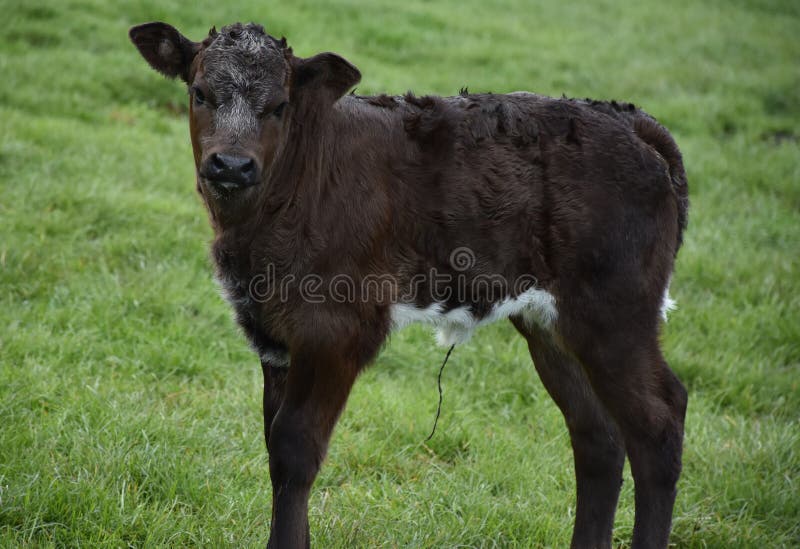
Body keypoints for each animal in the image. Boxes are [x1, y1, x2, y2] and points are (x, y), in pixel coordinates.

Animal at [129, 21, 689, 549]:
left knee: (658, 421)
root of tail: (629, 119)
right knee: (598, 436)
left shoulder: (336, 328)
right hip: (551, 322)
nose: (231, 164)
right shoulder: (274, 335)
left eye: (279, 105)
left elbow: (294, 448)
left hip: (614, 310)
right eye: (200, 93)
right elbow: (273, 442)